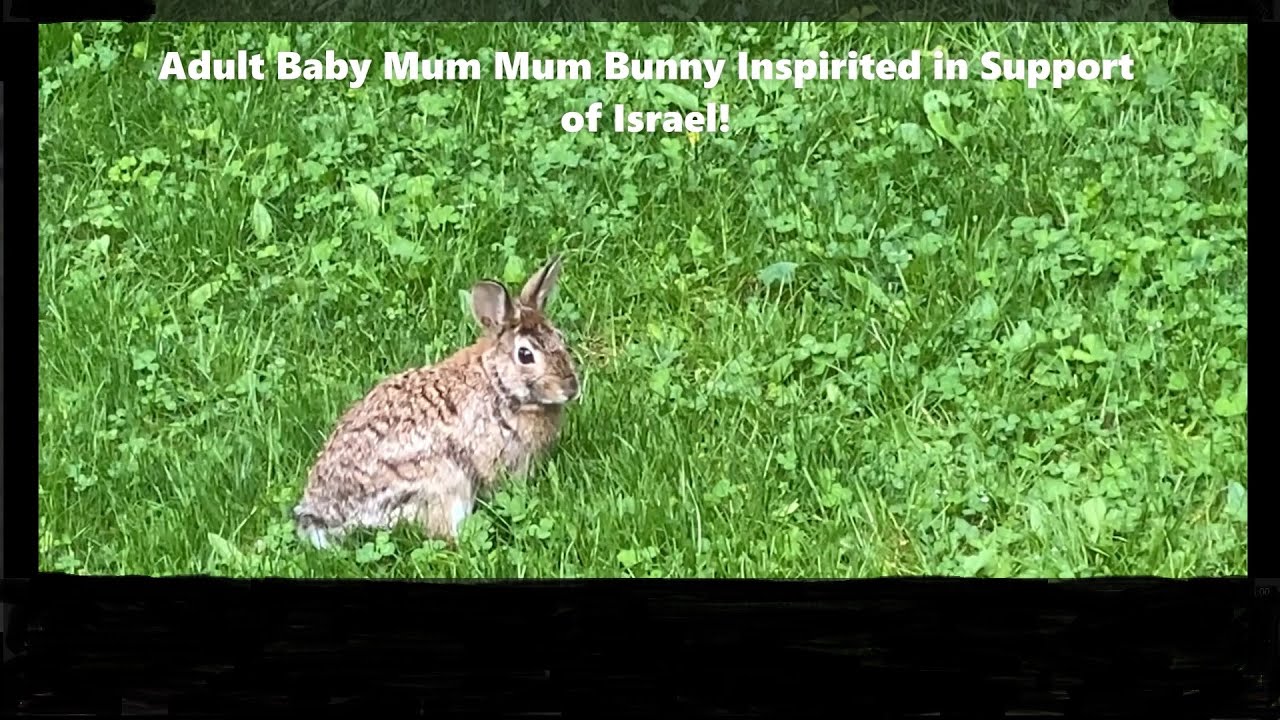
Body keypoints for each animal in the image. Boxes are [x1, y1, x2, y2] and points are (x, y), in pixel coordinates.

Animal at [293, 255, 580, 549]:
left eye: (560, 338)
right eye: (525, 355)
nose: (570, 388)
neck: (498, 384)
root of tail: (324, 518)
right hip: (443, 483)